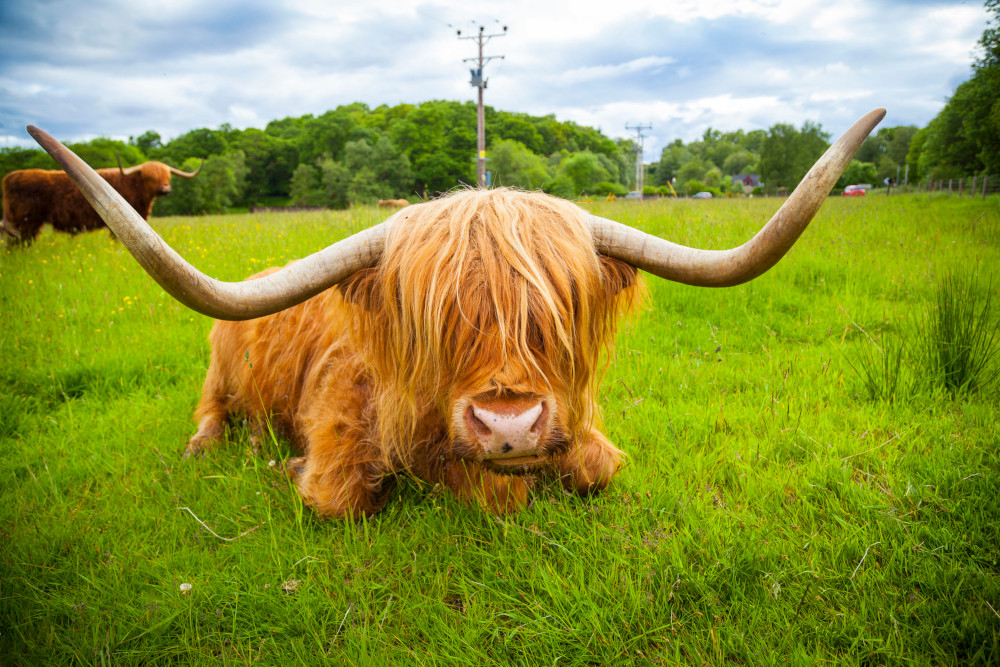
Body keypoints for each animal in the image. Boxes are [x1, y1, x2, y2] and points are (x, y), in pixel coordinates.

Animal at [28, 108, 885, 519]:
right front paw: (286, 467)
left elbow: (597, 469)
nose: (509, 424)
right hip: (216, 371)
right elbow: (337, 495)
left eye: (554, 314)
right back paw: (211, 446)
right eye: (438, 322)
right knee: (210, 414)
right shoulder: (337, 436)